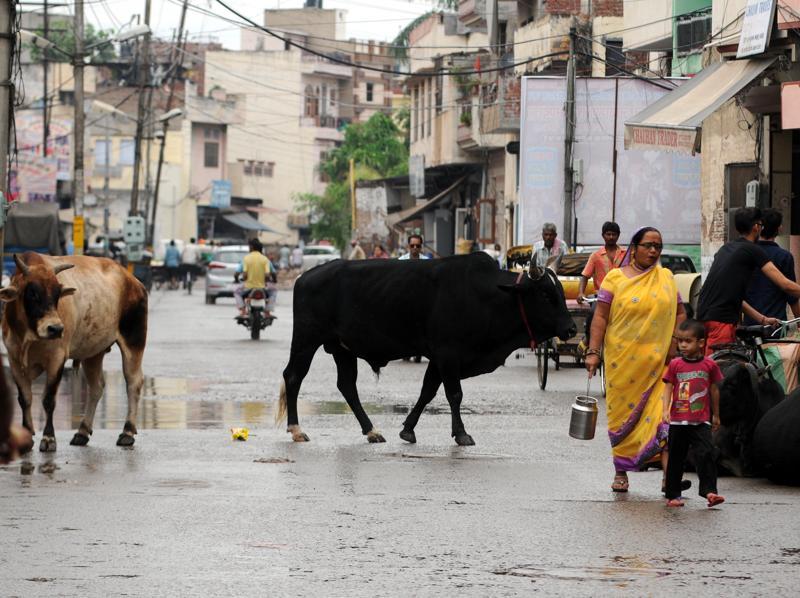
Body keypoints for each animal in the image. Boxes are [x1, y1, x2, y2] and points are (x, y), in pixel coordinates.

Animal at [0, 252, 147, 452]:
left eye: (57, 294)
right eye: (32, 293)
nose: (55, 329)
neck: (29, 335)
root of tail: (132, 280)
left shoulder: (57, 359)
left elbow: (48, 400)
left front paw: (48, 438)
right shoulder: (14, 360)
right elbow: (25, 398)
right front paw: (27, 436)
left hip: (134, 342)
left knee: (133, 383)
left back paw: (127, 432)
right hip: (94, 352)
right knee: (96, 387)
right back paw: (82, 432)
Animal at [276, 252, 576, 446]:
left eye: (561, 293)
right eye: (545, 295)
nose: (572, 329)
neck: (487, 295)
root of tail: (304, 276)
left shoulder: (439, 358)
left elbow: (427, 391)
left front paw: (408, 429)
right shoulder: (448, 354)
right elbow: (454, 394)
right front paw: (461, 433)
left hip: (342, 349)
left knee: (347, 386)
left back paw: (372, 431)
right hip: (306, 339)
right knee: (293, 376)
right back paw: (296, 429)